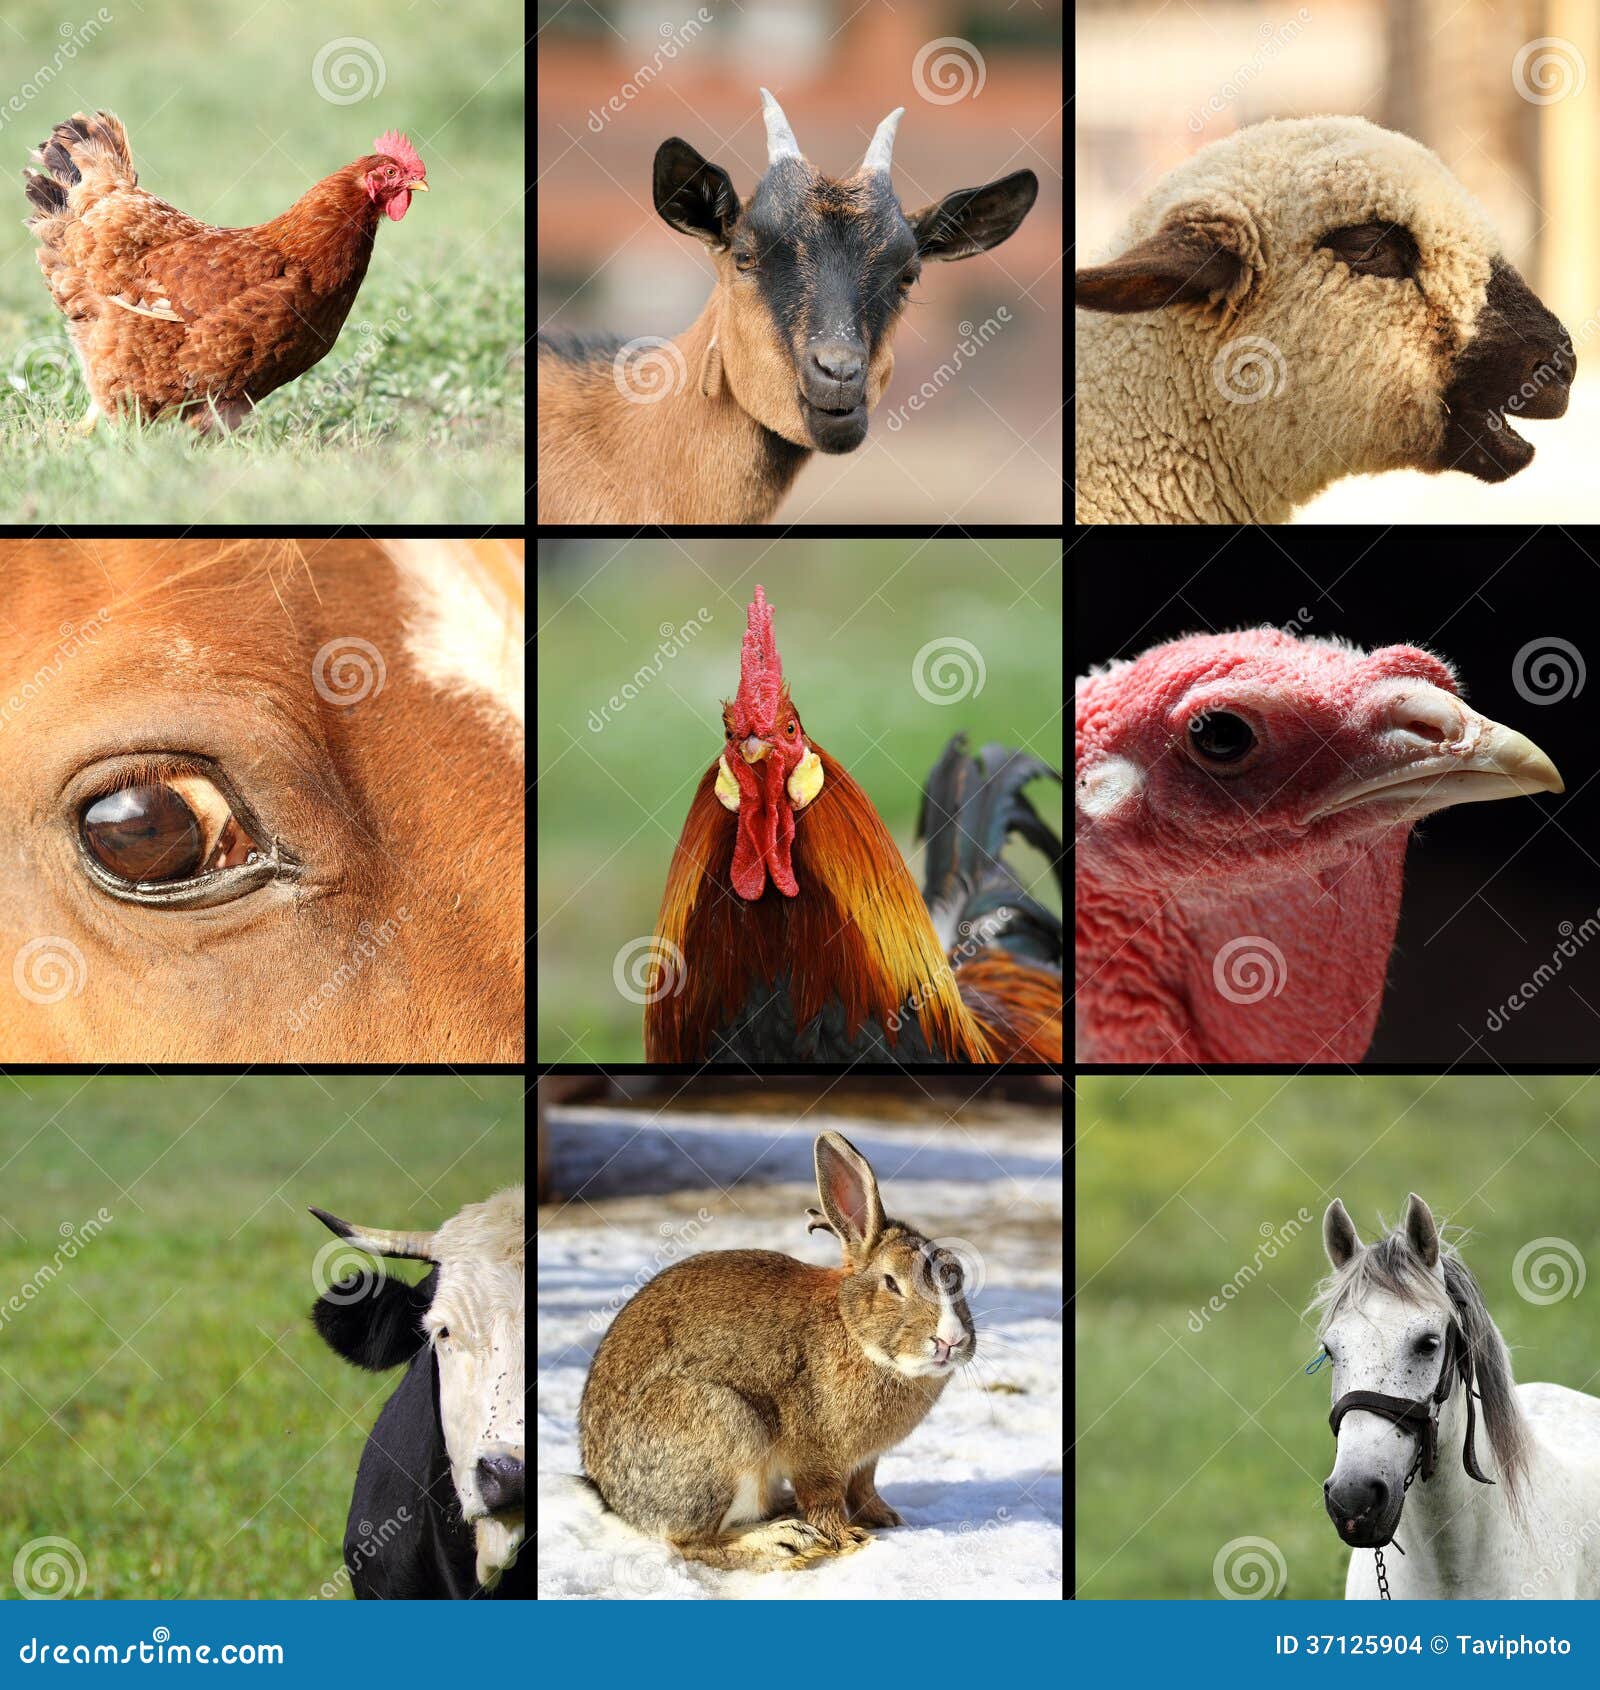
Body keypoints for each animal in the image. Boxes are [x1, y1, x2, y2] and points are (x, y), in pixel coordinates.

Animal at [578, 1130, 975, 1571]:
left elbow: (864, 1487)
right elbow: (824, 1500)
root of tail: (614, 1497)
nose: (951, 1340)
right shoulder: (816, 1456)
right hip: (722, 1427)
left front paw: (886, 1518)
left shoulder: (864, 1462)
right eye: (891, 1283)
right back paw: (785, 1540)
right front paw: (849, 1539)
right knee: (691, 1542)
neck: (854, 1332)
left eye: (958, 1277)